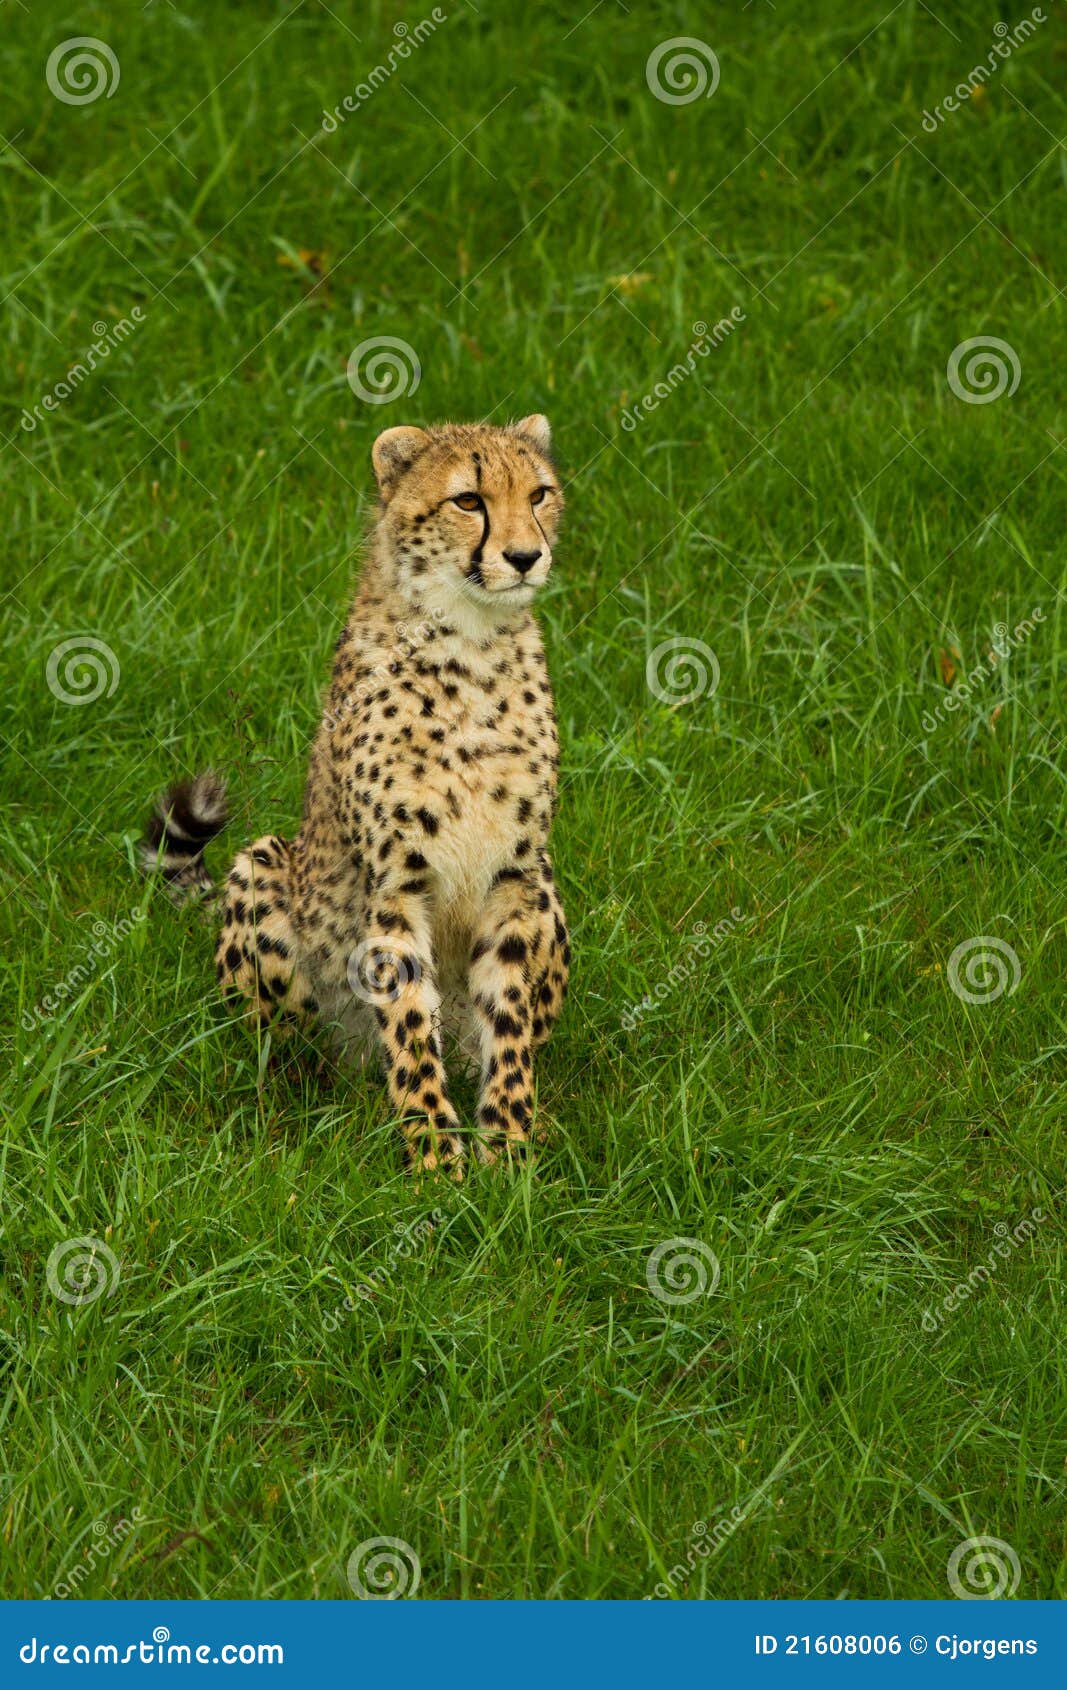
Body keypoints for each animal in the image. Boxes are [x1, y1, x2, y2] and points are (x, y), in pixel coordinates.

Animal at [141, 414, 570, 1179]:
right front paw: (433, 1154)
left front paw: (509, 1148)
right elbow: (409, 1021)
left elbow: (510, 1022)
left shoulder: (516, 877)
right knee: (296, 1046)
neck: (472, 646)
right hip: (264, 872)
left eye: (539, 494)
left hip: (550, 888)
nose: (525, 557)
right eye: (468, 501)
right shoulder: (396, 886)